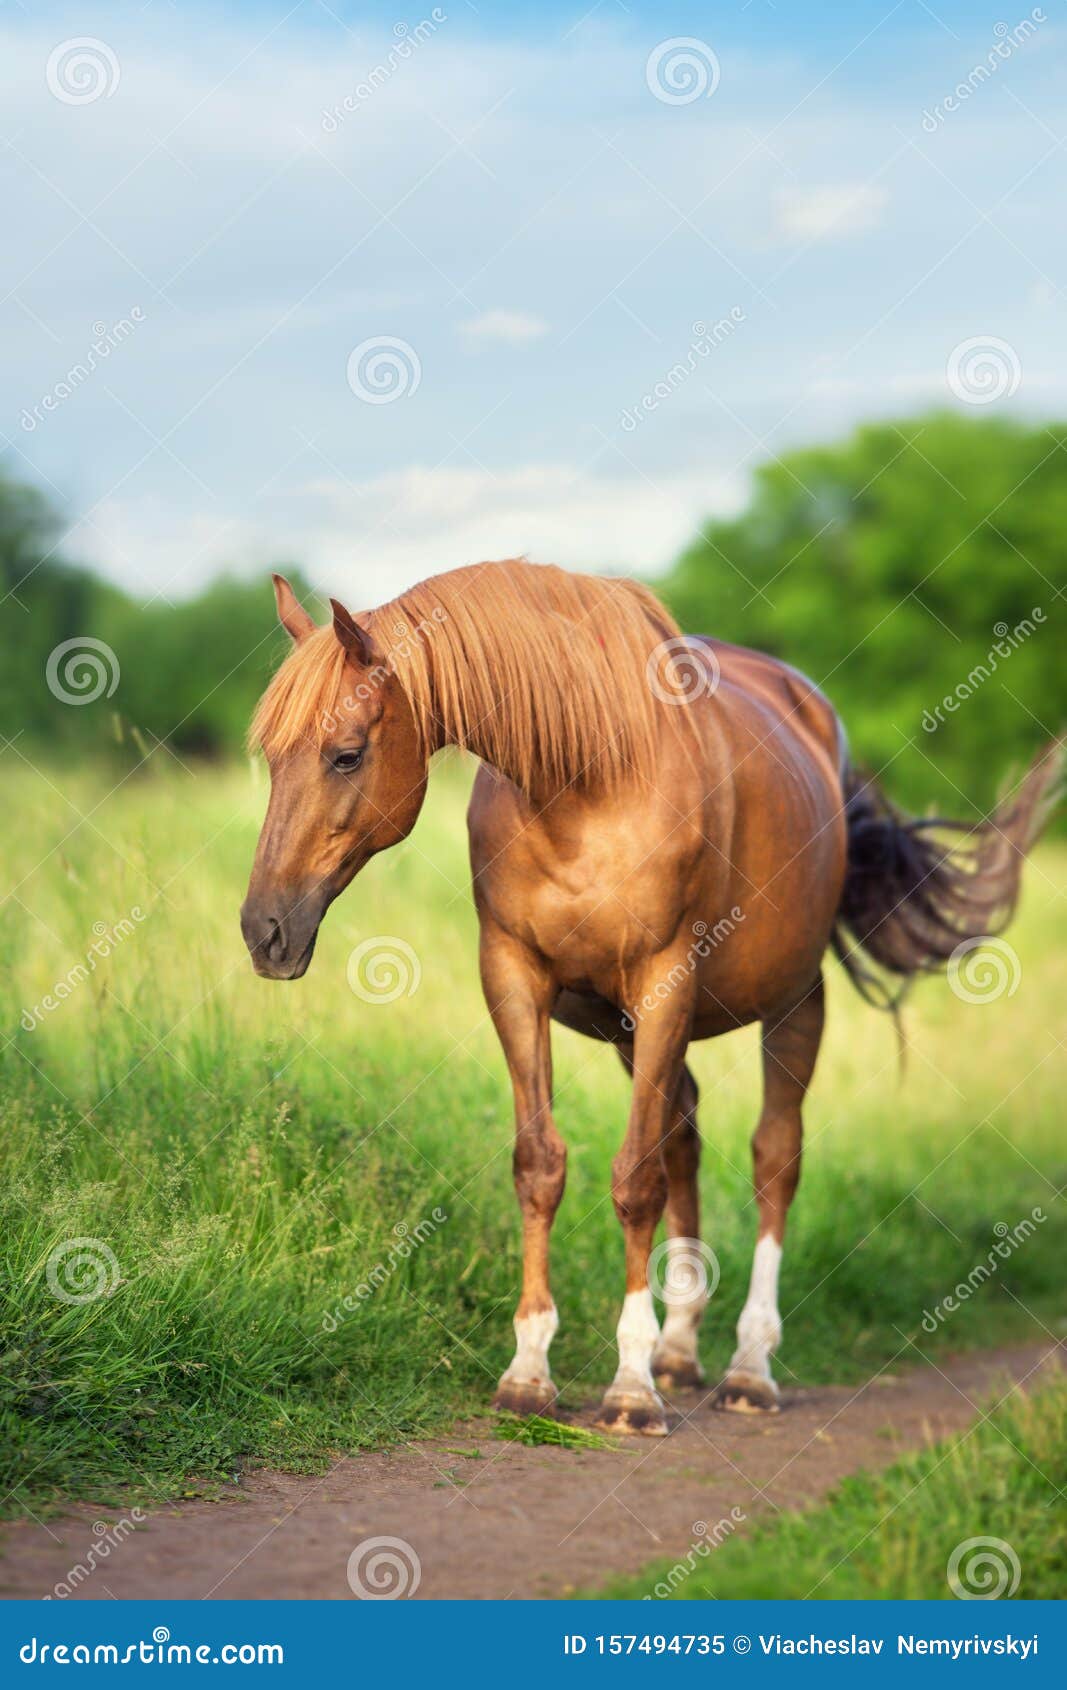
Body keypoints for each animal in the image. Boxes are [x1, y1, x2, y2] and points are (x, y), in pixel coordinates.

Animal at [241, 559, 1060, 1436]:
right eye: (272, 754)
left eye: (346, 755)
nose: (264, 930)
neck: (585, 784)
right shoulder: (514, 977)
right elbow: (542, 1164)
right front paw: (530, 1370)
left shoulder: (666, 980)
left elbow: (636, 1182)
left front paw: (629, 1388)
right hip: (637, 1032)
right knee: (685, 1140)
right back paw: (680, 1349)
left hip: (791, 1002)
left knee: (773, 1156)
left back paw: (746, 1367)